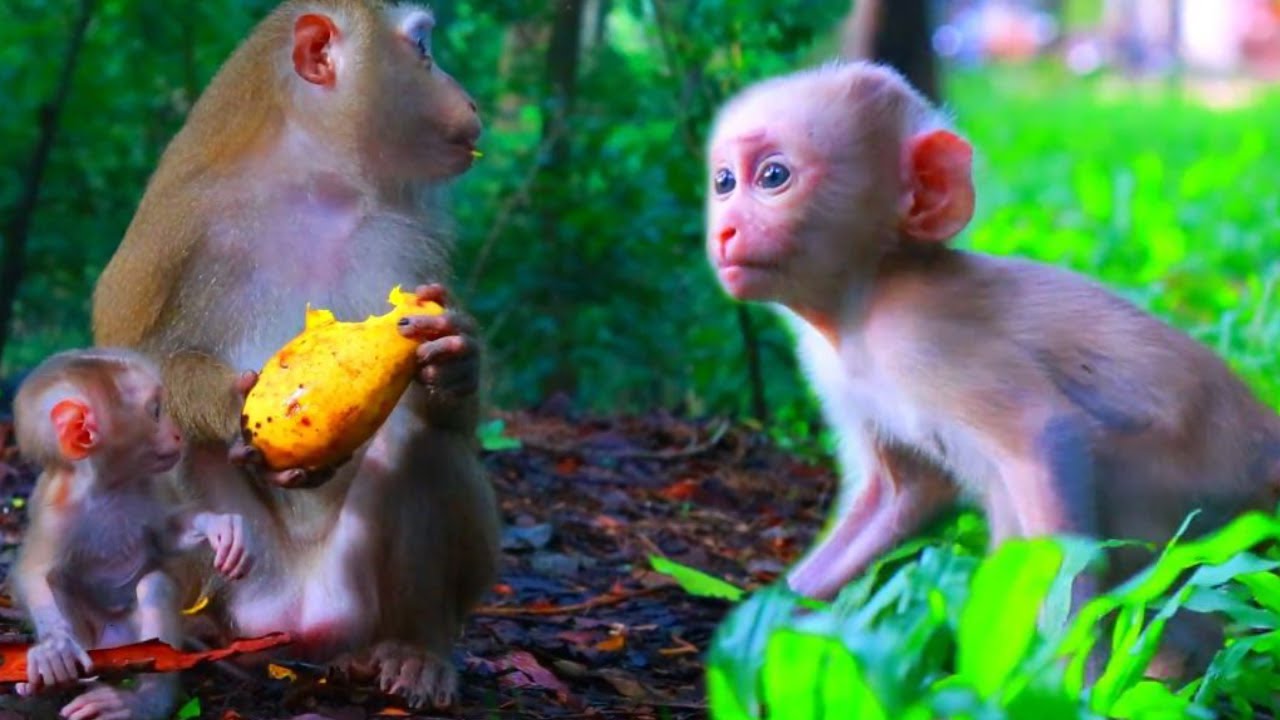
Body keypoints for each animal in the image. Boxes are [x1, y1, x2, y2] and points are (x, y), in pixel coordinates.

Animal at [8, 347, 251, 720]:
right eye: (155, 411)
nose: (177, 434)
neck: (108, 487)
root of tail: (112, 647)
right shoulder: (55, 515)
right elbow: (32, 573)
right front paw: (53, 646)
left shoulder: (147, 485)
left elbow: (165, 537)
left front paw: (219, 527)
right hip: (92, 646)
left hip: (131, 641)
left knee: (155, 586)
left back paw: (143, 700)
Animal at [89, 0, 500, 708]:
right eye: (423, 50)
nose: (470, 98)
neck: (318, 185)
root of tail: (297, 624)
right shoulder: (176, 222)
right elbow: (117, 360)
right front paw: (222, 403)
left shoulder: (413, 236)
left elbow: (448, 415)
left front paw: (456, 360)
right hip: (239, 589)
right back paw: (172, 651)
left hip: (353, 602)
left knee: (422, 444)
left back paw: (413, 652)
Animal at [703, 60, 1280, 677]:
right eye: (723, 183)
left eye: (774, 176)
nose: (724, 230)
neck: (868, 294)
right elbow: (901, 495)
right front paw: (757, 625)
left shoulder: (920, 338)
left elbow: (1046, 436)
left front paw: (1065, 679)